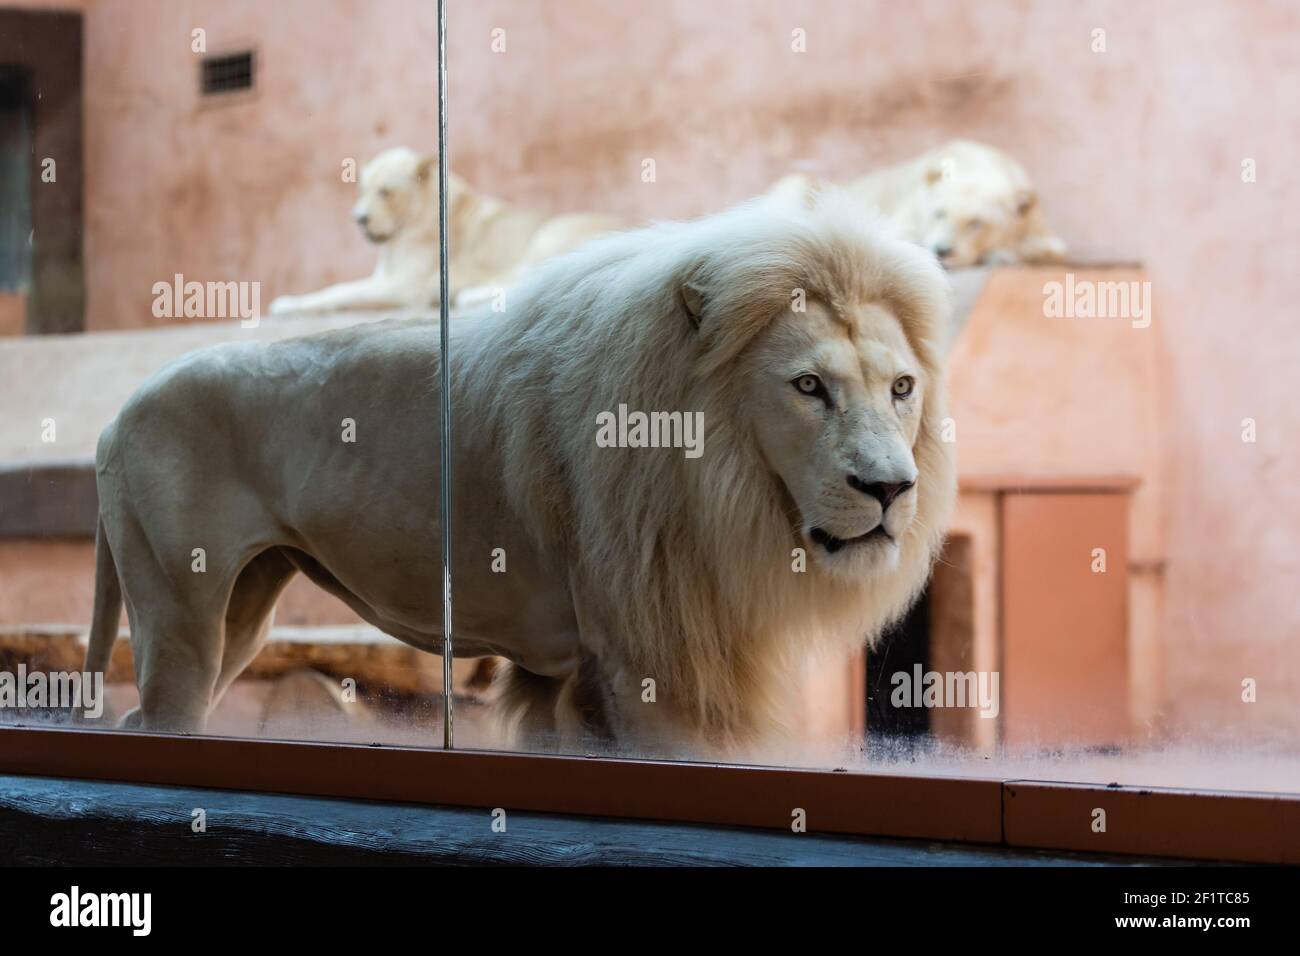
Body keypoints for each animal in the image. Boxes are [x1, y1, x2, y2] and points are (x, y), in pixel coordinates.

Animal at [84, 192, 955, 755]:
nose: (890, 490)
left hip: (247, 610)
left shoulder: (565, 674)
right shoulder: (651, 668)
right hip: (183, 611)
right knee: (161, 712)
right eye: (809, 386)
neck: (719, 486)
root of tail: (116, 415)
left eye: (901, 388)